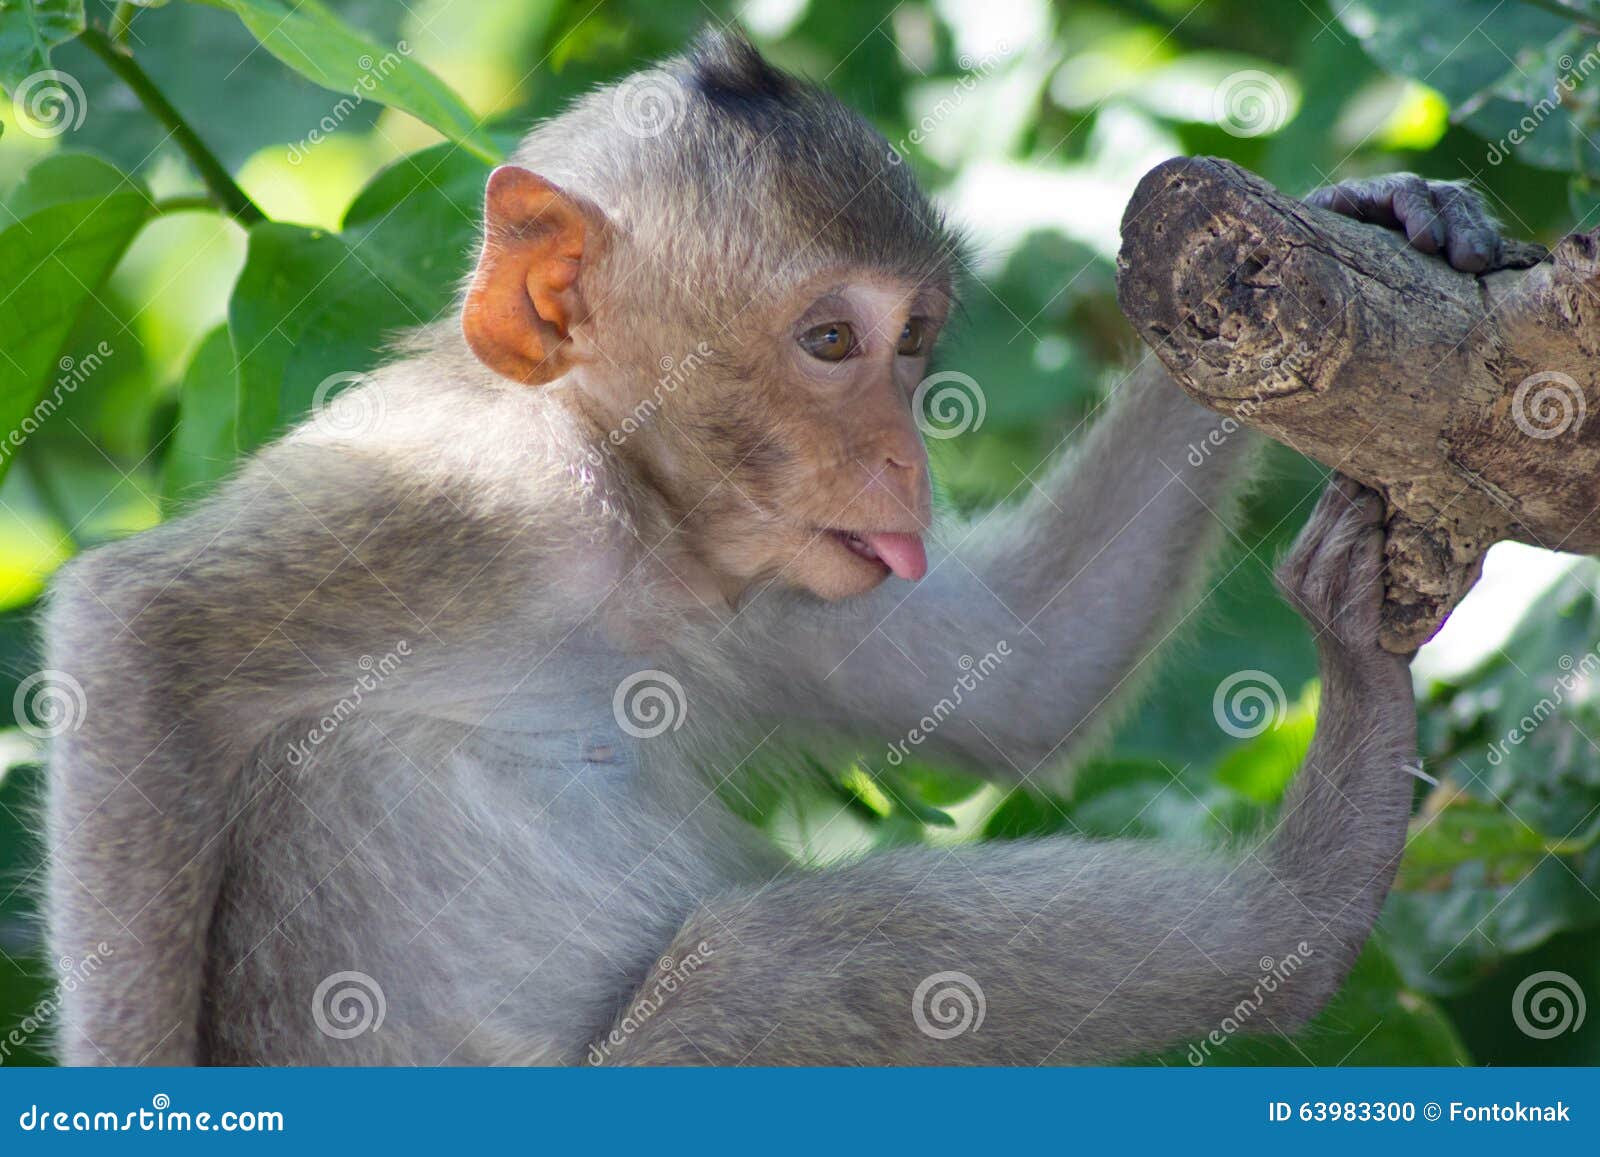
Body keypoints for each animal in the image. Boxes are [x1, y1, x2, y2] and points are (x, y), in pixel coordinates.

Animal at [40, 32, 1507, 1066]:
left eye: (916, 342)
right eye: (830, 341)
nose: (907, 462)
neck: (635, 517)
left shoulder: (773, 586)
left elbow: (1022, 674)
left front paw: (1365, 212)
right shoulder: (467, 492)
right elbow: (135, 630)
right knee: (790, 962)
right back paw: (1302, 915)